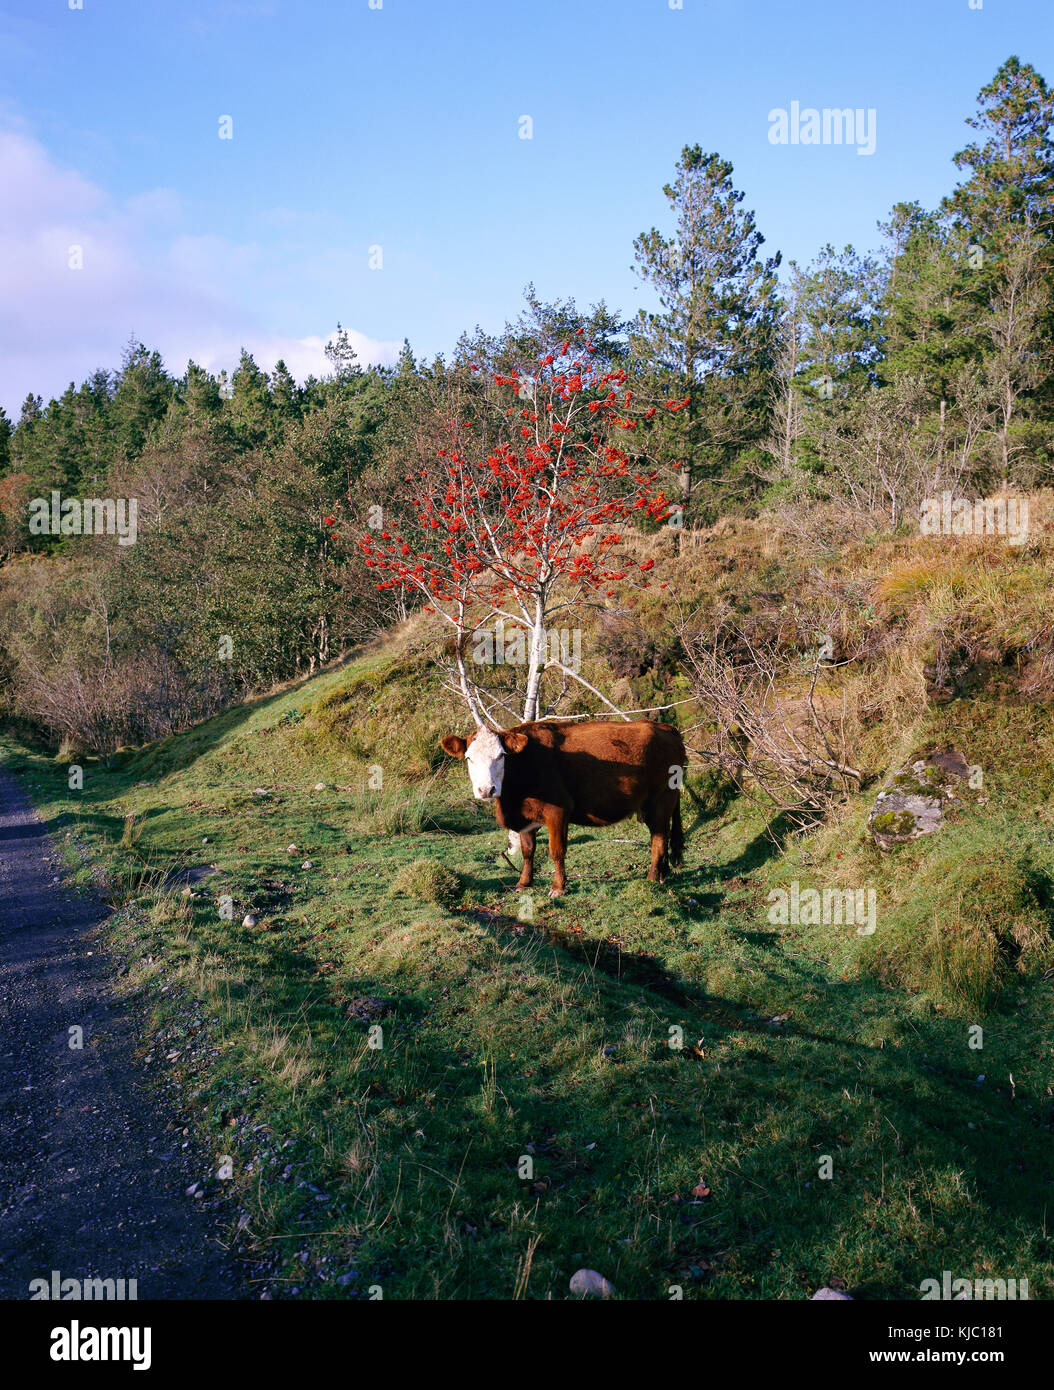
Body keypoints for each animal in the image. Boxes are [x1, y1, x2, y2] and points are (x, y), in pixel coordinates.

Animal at [440, 719, 686, 895]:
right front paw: (524, 882)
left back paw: (652, 877)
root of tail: (665, 727)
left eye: (501, 755)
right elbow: (528, 851)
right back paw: (662, 874)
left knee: (659, 839)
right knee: (662, 837)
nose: (486, 790)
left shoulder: (557, 812)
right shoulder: (527, 817)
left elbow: (556, 850)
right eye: (469, 758)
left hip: (662, 800)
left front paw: (558, 887)